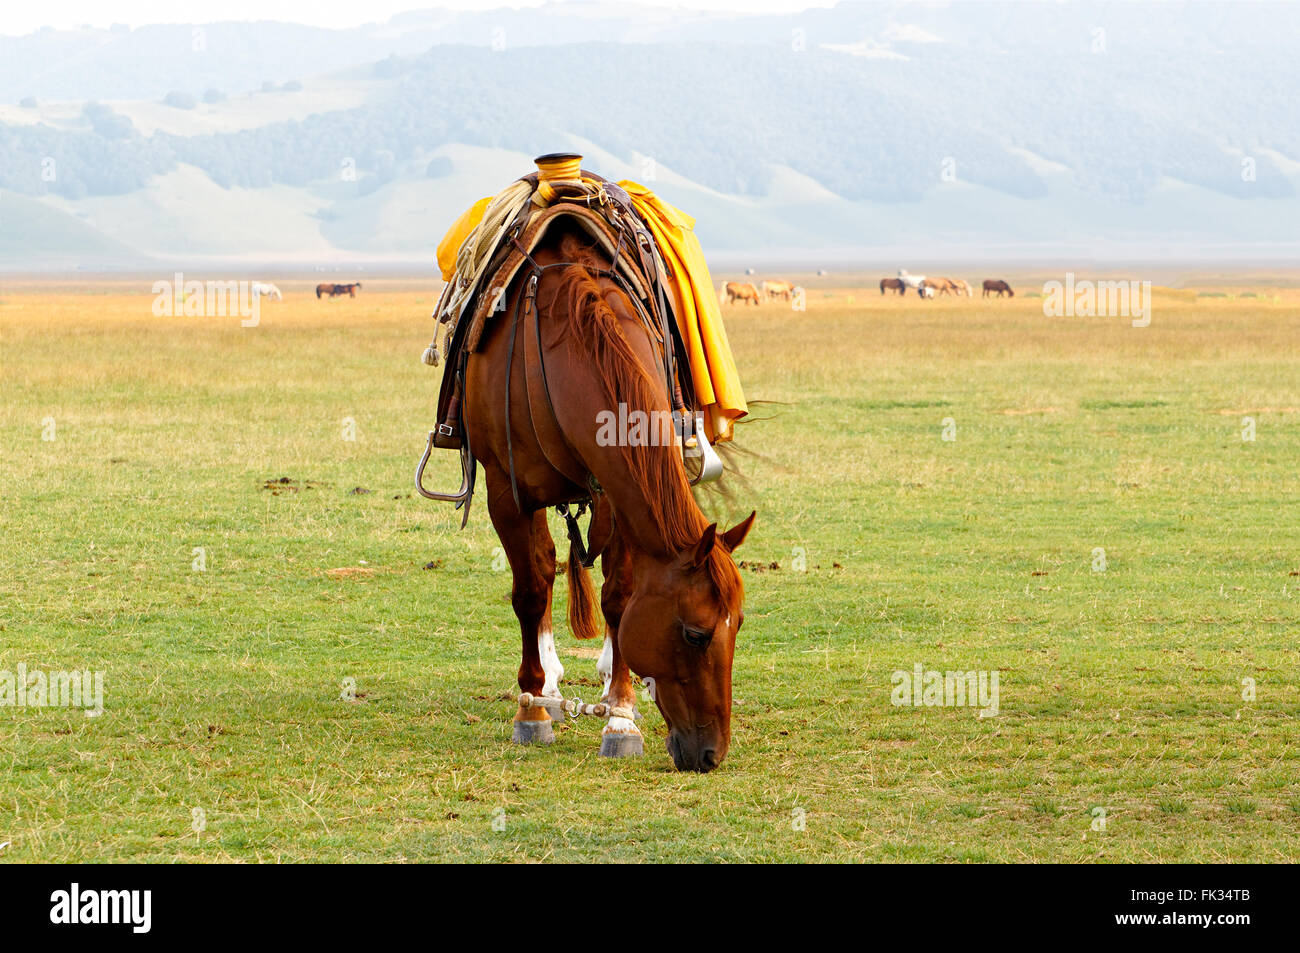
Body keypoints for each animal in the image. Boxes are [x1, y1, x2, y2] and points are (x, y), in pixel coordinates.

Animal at [464, 223, 755, 772]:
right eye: (695, 633)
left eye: (739, 625)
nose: (711, 754)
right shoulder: (506, 493)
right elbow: (530, 591)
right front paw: (530, 711)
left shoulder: (616, 499)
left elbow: (619, 599)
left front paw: (620, 715)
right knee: (545, 568)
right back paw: (549, 690)